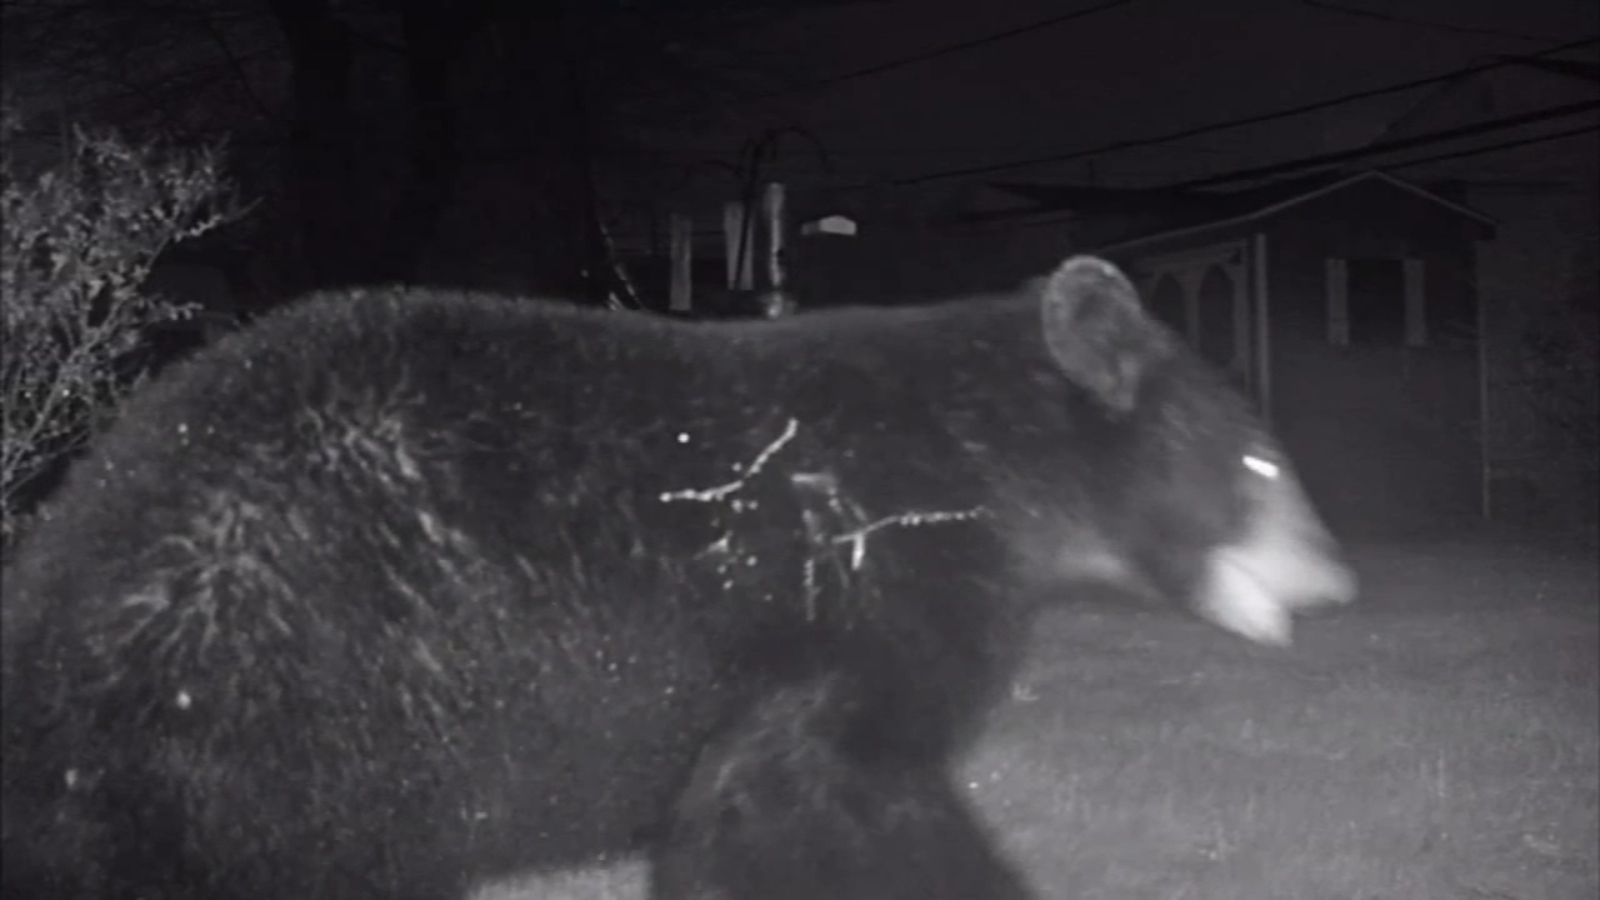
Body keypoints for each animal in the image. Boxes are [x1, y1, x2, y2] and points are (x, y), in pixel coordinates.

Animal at [0, 256, 1356, 900]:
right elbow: (804, 795)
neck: (979, 459)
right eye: (1259, 459)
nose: (1336, 578)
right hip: (283, 739)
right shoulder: (873, 579)